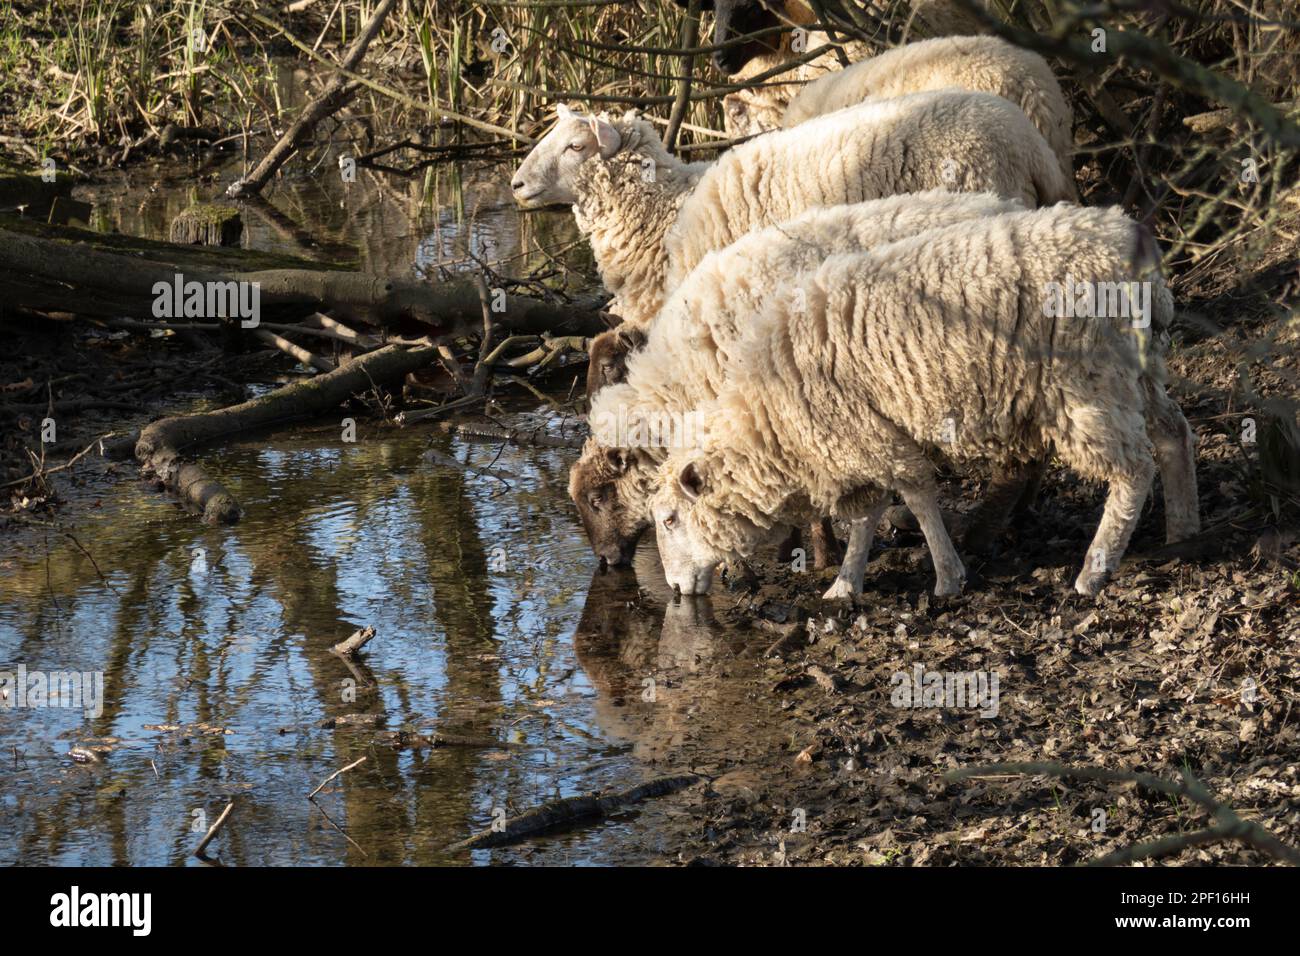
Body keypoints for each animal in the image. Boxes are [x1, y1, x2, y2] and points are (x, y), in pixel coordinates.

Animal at [570, 190, 1027, 576]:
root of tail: (1005, 205)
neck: (680, 383)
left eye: (597, 498)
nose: (605, 561)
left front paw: (815, 553)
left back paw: (986, 531)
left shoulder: (789, 408)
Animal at [646, 204, 1200, 599]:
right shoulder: (859, 440)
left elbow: (915, 494)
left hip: (1086, 381)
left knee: (1132, 469)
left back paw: (1095, 568)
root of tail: (1134, 253)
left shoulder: (864, 433)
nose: (675, 588)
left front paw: (948, 577)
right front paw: (845, 584)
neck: (768, 420)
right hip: (1136, 369)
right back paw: (1182, 531)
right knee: (1174, 433)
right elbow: (868, 514)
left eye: (670, 519)